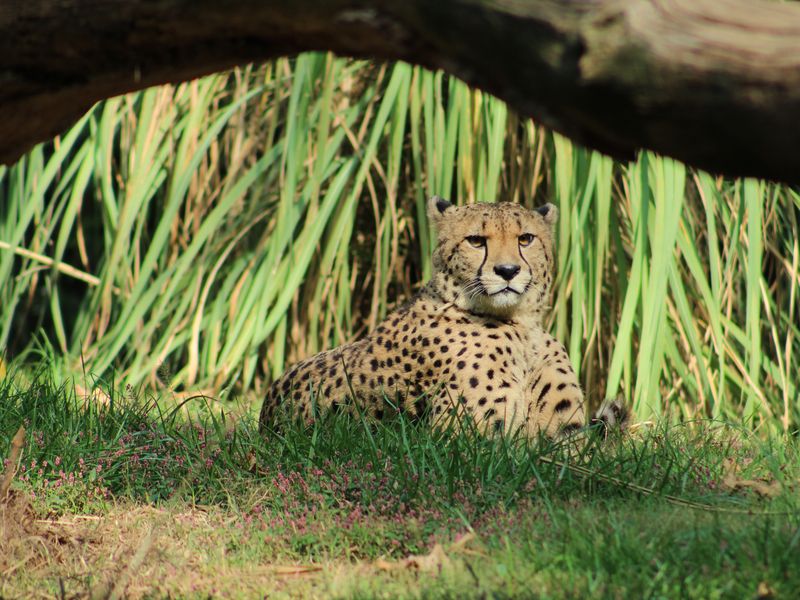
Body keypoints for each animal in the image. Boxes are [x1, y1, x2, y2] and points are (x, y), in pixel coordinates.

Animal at [260, 196, 626, 438]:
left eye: (526, 239)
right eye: (476, 241)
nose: (508, 271)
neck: (521, 326)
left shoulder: (567, 436)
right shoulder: (465, 441)